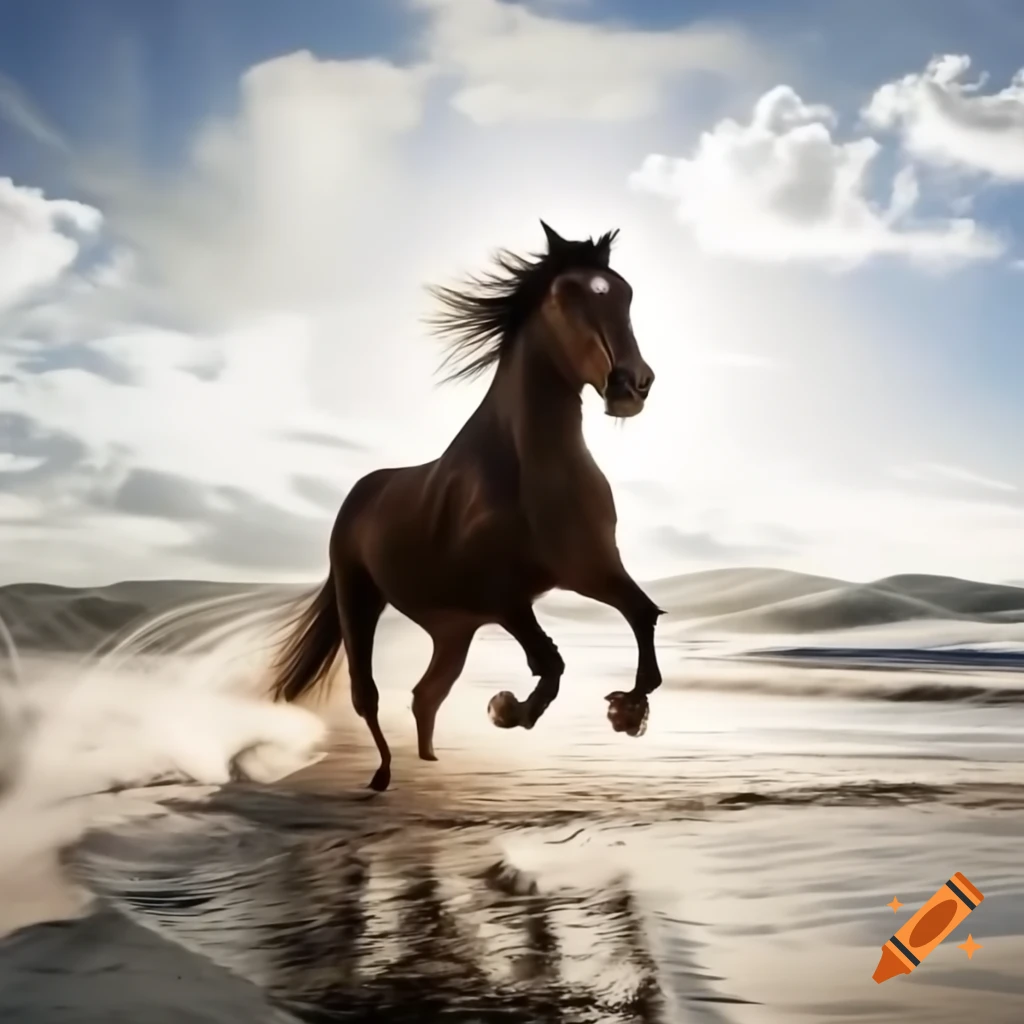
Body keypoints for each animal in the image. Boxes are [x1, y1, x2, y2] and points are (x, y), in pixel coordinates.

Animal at [269, 221, 665, 791]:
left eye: (625, 293)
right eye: (566, 294)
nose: (632, 384)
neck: (531, 472)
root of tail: (362, 489)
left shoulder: (591, 570)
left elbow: (643, 619)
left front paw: (627, 710)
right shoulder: (502, 597)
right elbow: (550, 665)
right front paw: (506, 708)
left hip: (452, 630)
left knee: (426, 693)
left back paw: (430, 761)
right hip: (358, 596)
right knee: (369, 694)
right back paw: (383, 778)